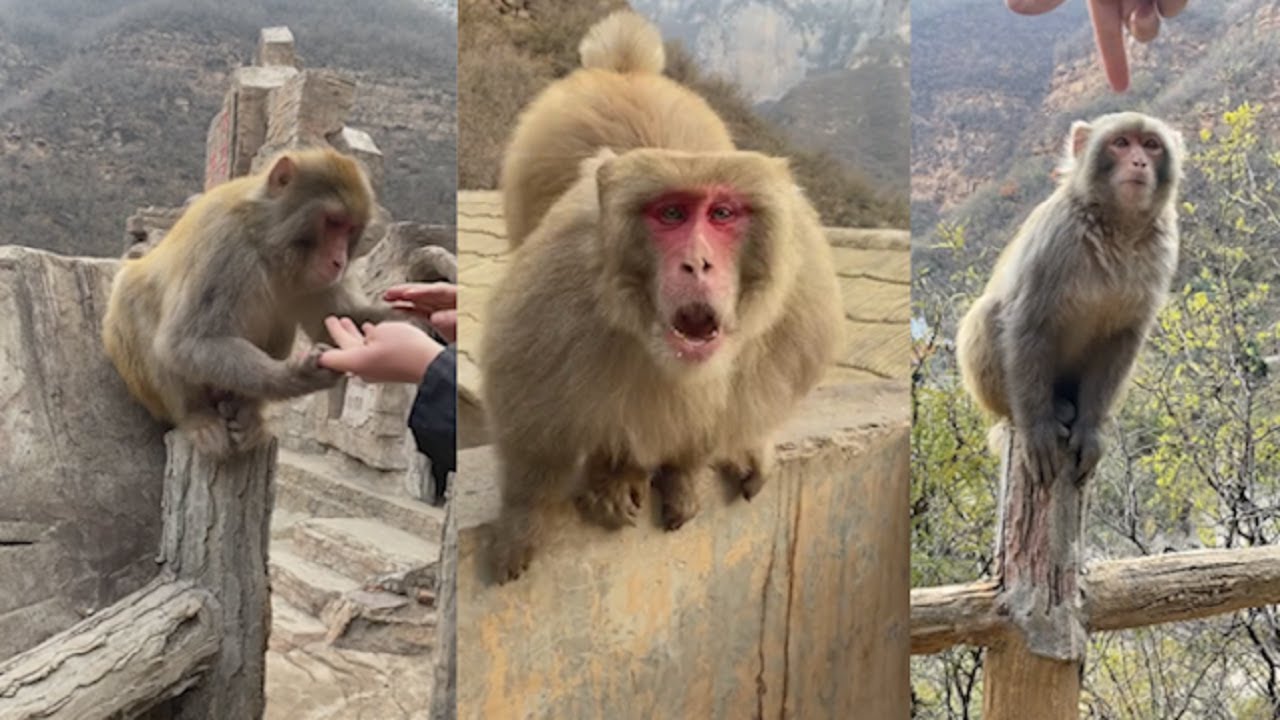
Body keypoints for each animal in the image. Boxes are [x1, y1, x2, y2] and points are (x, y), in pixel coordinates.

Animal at [102, 147, 394, 459]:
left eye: (350, 229)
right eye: (333, 222)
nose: (339, 261)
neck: (268, 241)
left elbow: (337, 319)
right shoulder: (226, 244)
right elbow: (185, 341)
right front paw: (293, 376)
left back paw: (247, 412)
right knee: (134, 302)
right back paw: (197, 417)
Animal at [480, 11, 844, 582]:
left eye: (722, 213)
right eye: (671, 214)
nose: (697, 262)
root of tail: (624, 69)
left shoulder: (798, 298)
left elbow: (723, 408)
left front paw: (686, 470)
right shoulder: (557, 292)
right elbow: (534, 407)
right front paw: (527, 514)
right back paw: (617, 474)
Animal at [955, 111, 1183, 485]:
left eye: (1151, 145)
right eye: (1121, 143)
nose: (1139, 162)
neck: (1117, 227)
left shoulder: (1163, 249)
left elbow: (1123, 337)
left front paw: (1090, 430)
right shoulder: (1056, 237)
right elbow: (1027, 322)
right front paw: (1038, 429)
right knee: (987, 314)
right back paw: (1043, 410)